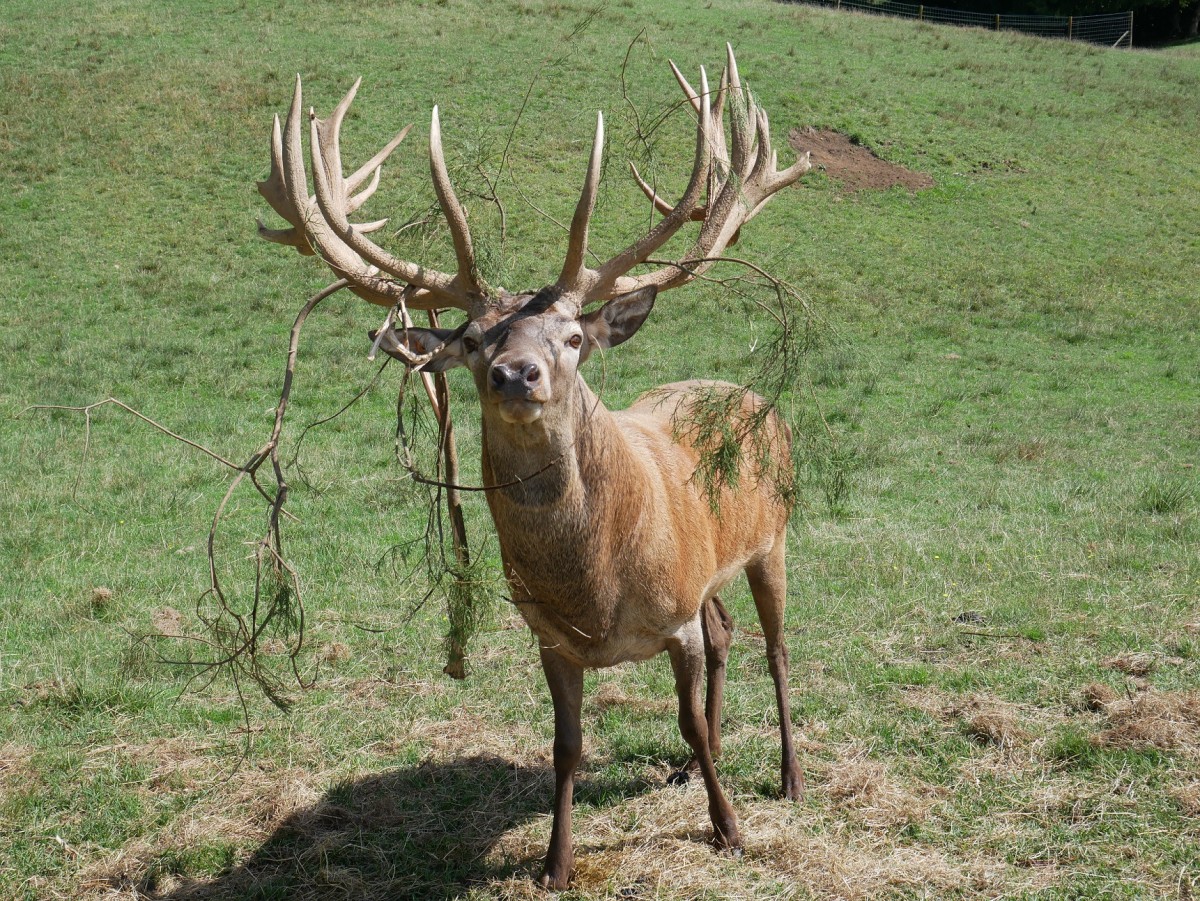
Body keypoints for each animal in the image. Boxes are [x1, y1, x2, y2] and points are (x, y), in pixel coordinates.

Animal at [256, 45, 812, 889]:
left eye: (573, 337)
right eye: (470, 339)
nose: (516, 373)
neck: (596, 591)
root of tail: (749, 395)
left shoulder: (674, 612)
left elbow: (685, 718)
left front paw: (729, 828)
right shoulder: (549, 636)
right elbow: (566, 747)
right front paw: (555, 861)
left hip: (772, 536)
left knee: (775, 647)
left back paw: (788, 774)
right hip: (714, 568)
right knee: (726, 634)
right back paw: (696, 769)